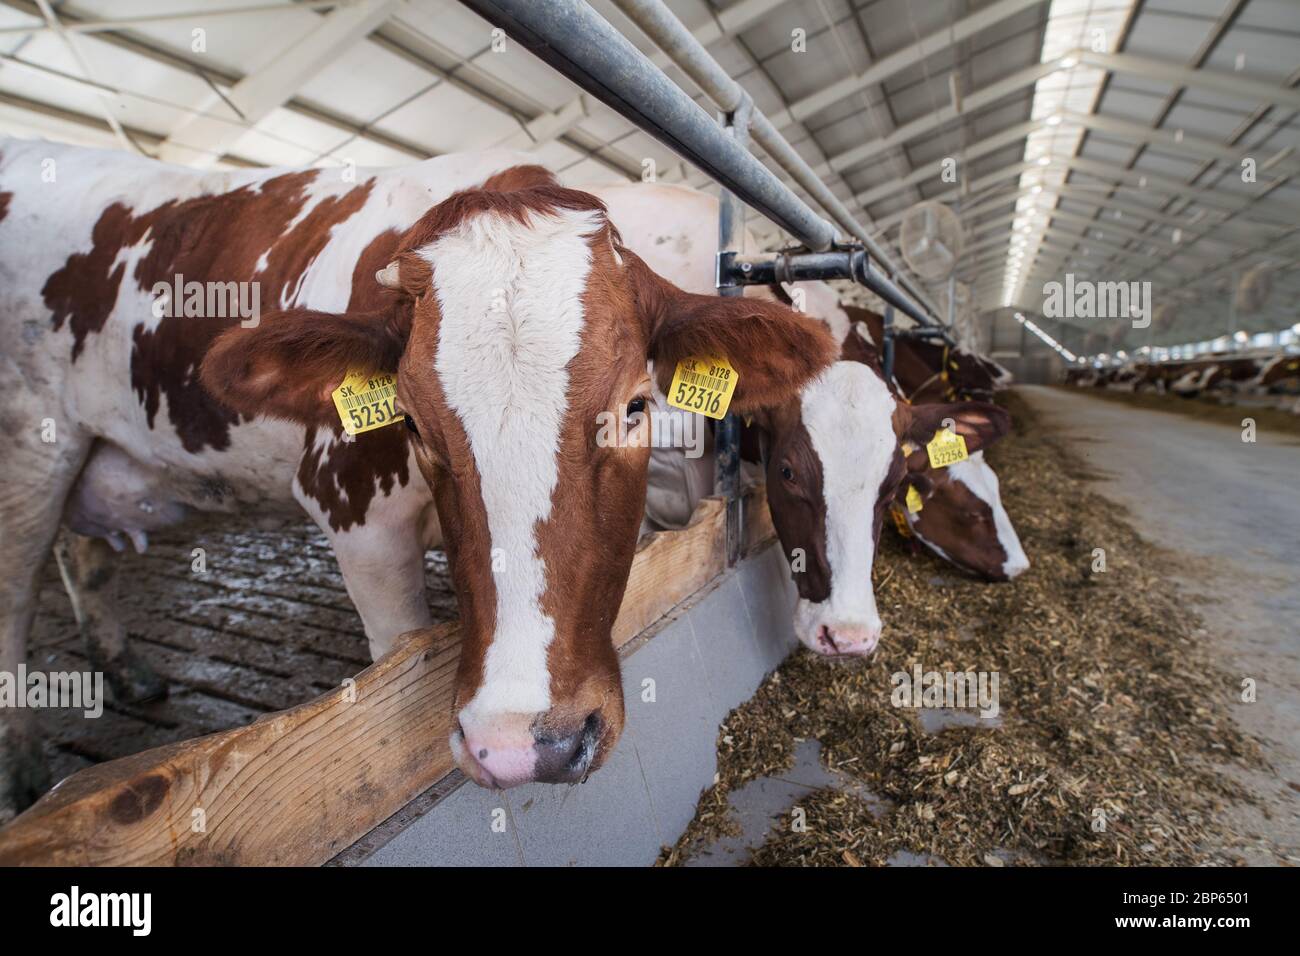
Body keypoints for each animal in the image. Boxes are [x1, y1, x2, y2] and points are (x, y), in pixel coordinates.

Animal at [0, 141, 835, 810]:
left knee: (83, 553)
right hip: (26, 452)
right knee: (17, 591)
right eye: (410, 422)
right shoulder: (357, 521)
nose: (522, 745)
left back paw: (126, 672)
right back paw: (21, 772)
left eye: (635, 406)